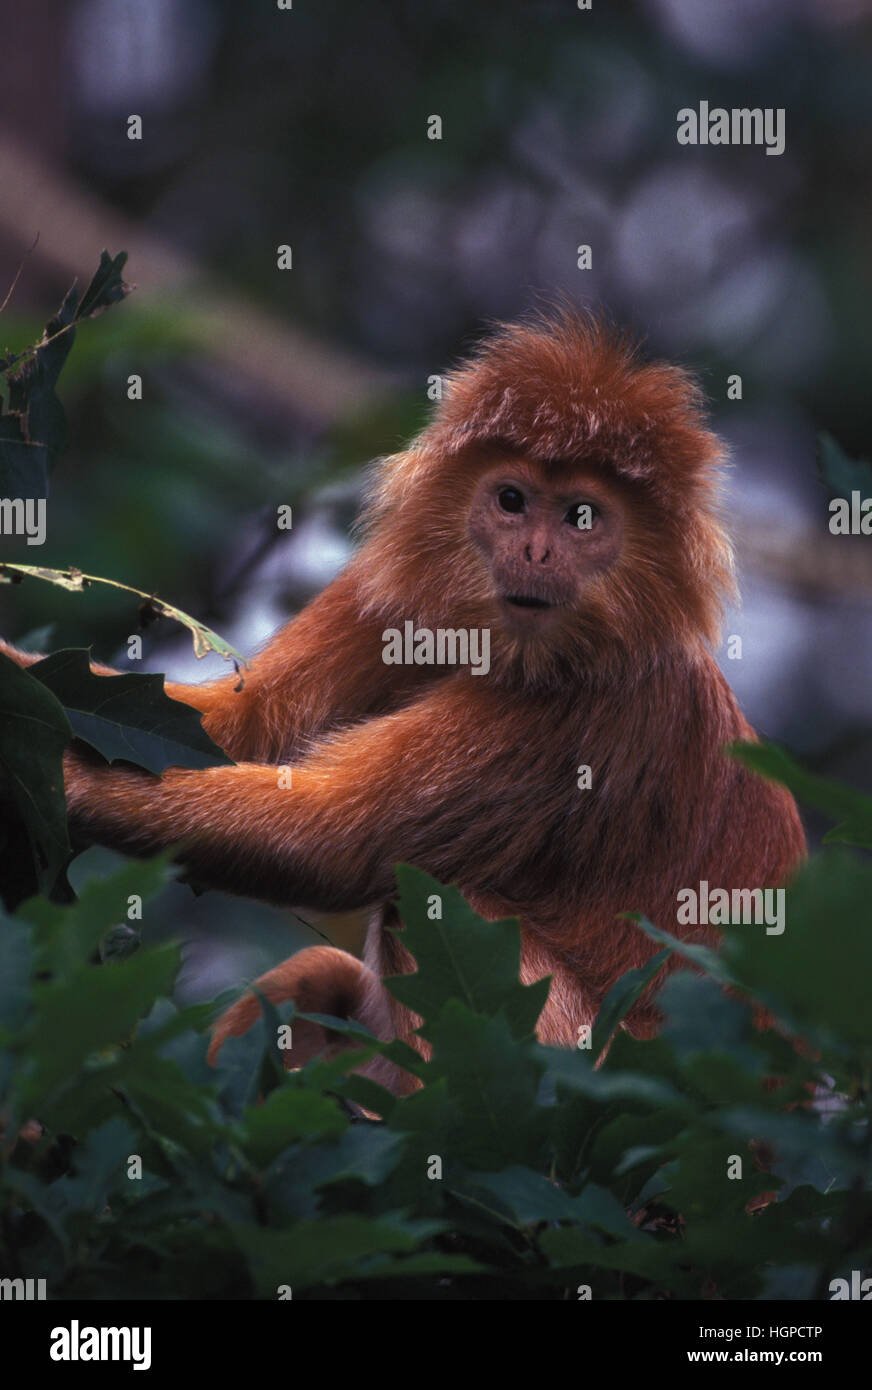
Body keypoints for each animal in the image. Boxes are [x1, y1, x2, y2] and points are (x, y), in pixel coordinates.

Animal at [0, 310, 806, 1095]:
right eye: (512, 502)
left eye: (582, 517)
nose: (536, 554)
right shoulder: (382, 597)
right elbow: (232, 726)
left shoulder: (591, 708)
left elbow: (332, 840)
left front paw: (59, 781)